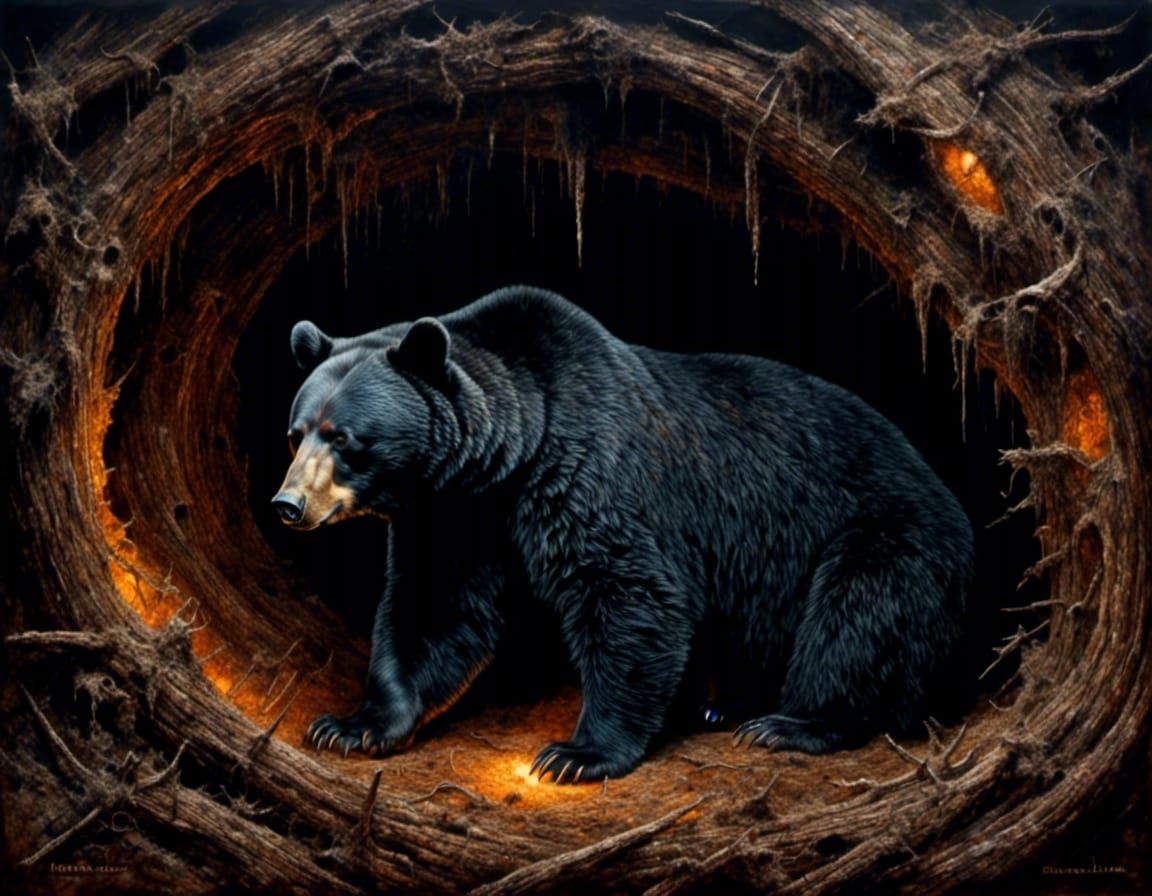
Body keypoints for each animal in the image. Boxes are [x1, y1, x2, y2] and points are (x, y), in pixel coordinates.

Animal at [272, 285, 973, 783]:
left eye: (344, 438)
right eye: (295, 432)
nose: (287, 504)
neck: (512, 453)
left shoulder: (591, 472)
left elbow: (629, 591)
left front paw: (577, 752)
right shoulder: (459, 512)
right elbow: (432, 608)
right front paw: (352, 725)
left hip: (887, 534)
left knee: (855, 615)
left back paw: (792, 722)